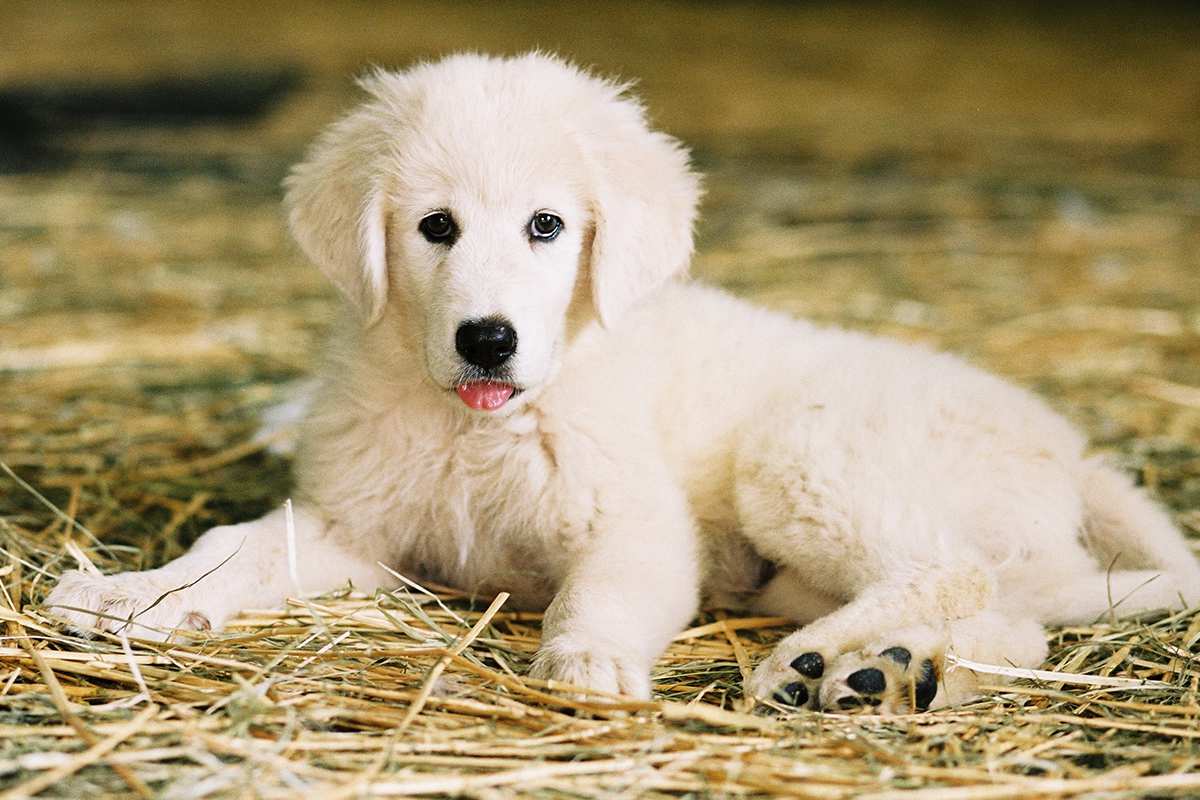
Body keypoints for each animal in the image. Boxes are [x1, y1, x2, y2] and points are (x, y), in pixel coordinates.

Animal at [42, 51, 1195, 714]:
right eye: (435, 227)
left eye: (547, 225)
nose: (488, 339)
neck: (480, 433)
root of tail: (1071, 447)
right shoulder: (358, 528)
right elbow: (233, 547)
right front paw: (133, 596)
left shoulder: (636, 522)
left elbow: (602, 592)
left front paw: (587, 665)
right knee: (1015, 619)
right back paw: (894, 668)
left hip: (809, 454)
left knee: (959, 575)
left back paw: (831, 665)